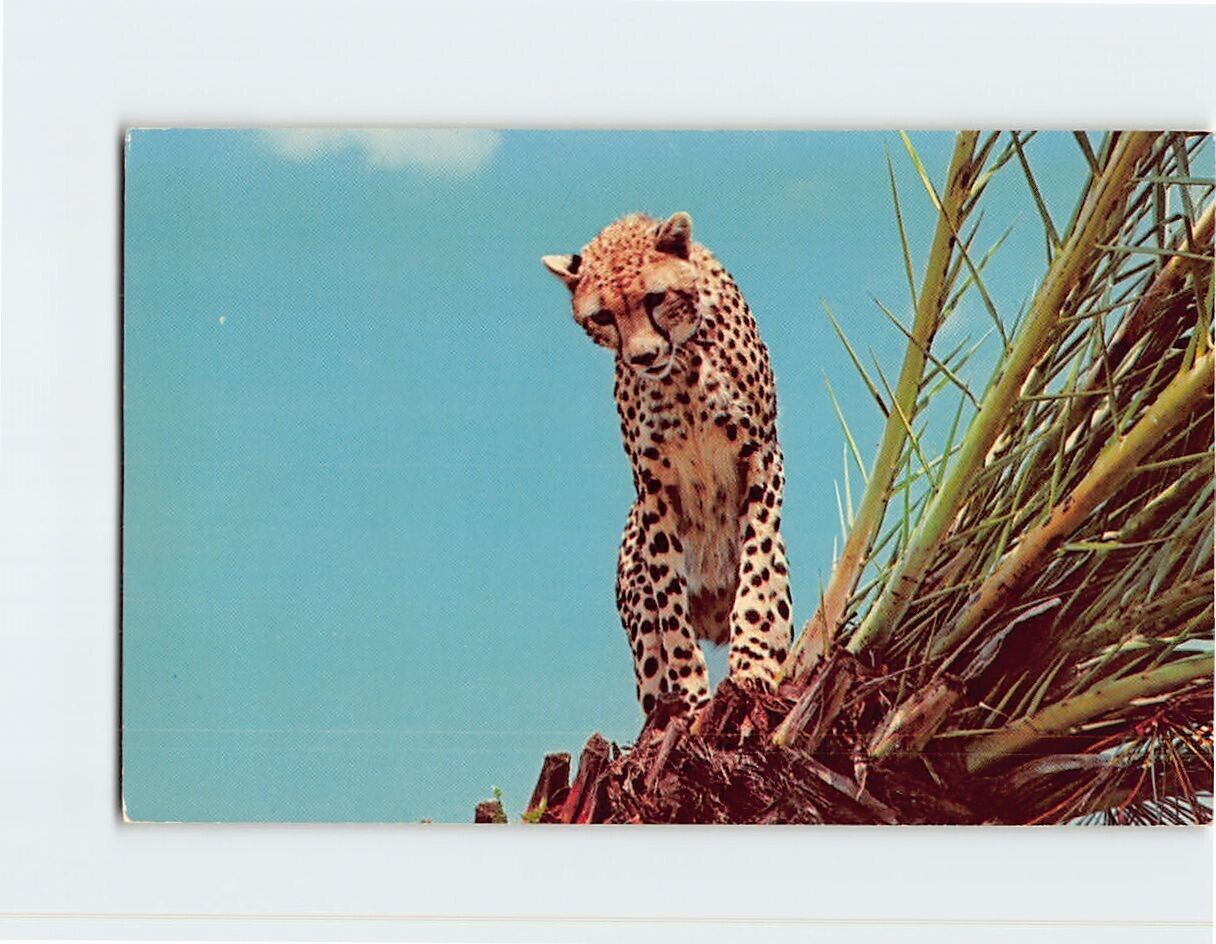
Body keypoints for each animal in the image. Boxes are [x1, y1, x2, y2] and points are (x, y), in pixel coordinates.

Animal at [542, 211, 793, 718]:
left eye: (655, 298)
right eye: (602, 316)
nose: (643, 356)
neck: (680, 366)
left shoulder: (762, 456)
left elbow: (758, 568)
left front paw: (752, 664)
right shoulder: (655, 489)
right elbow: (670, 606)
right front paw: (693, 701)